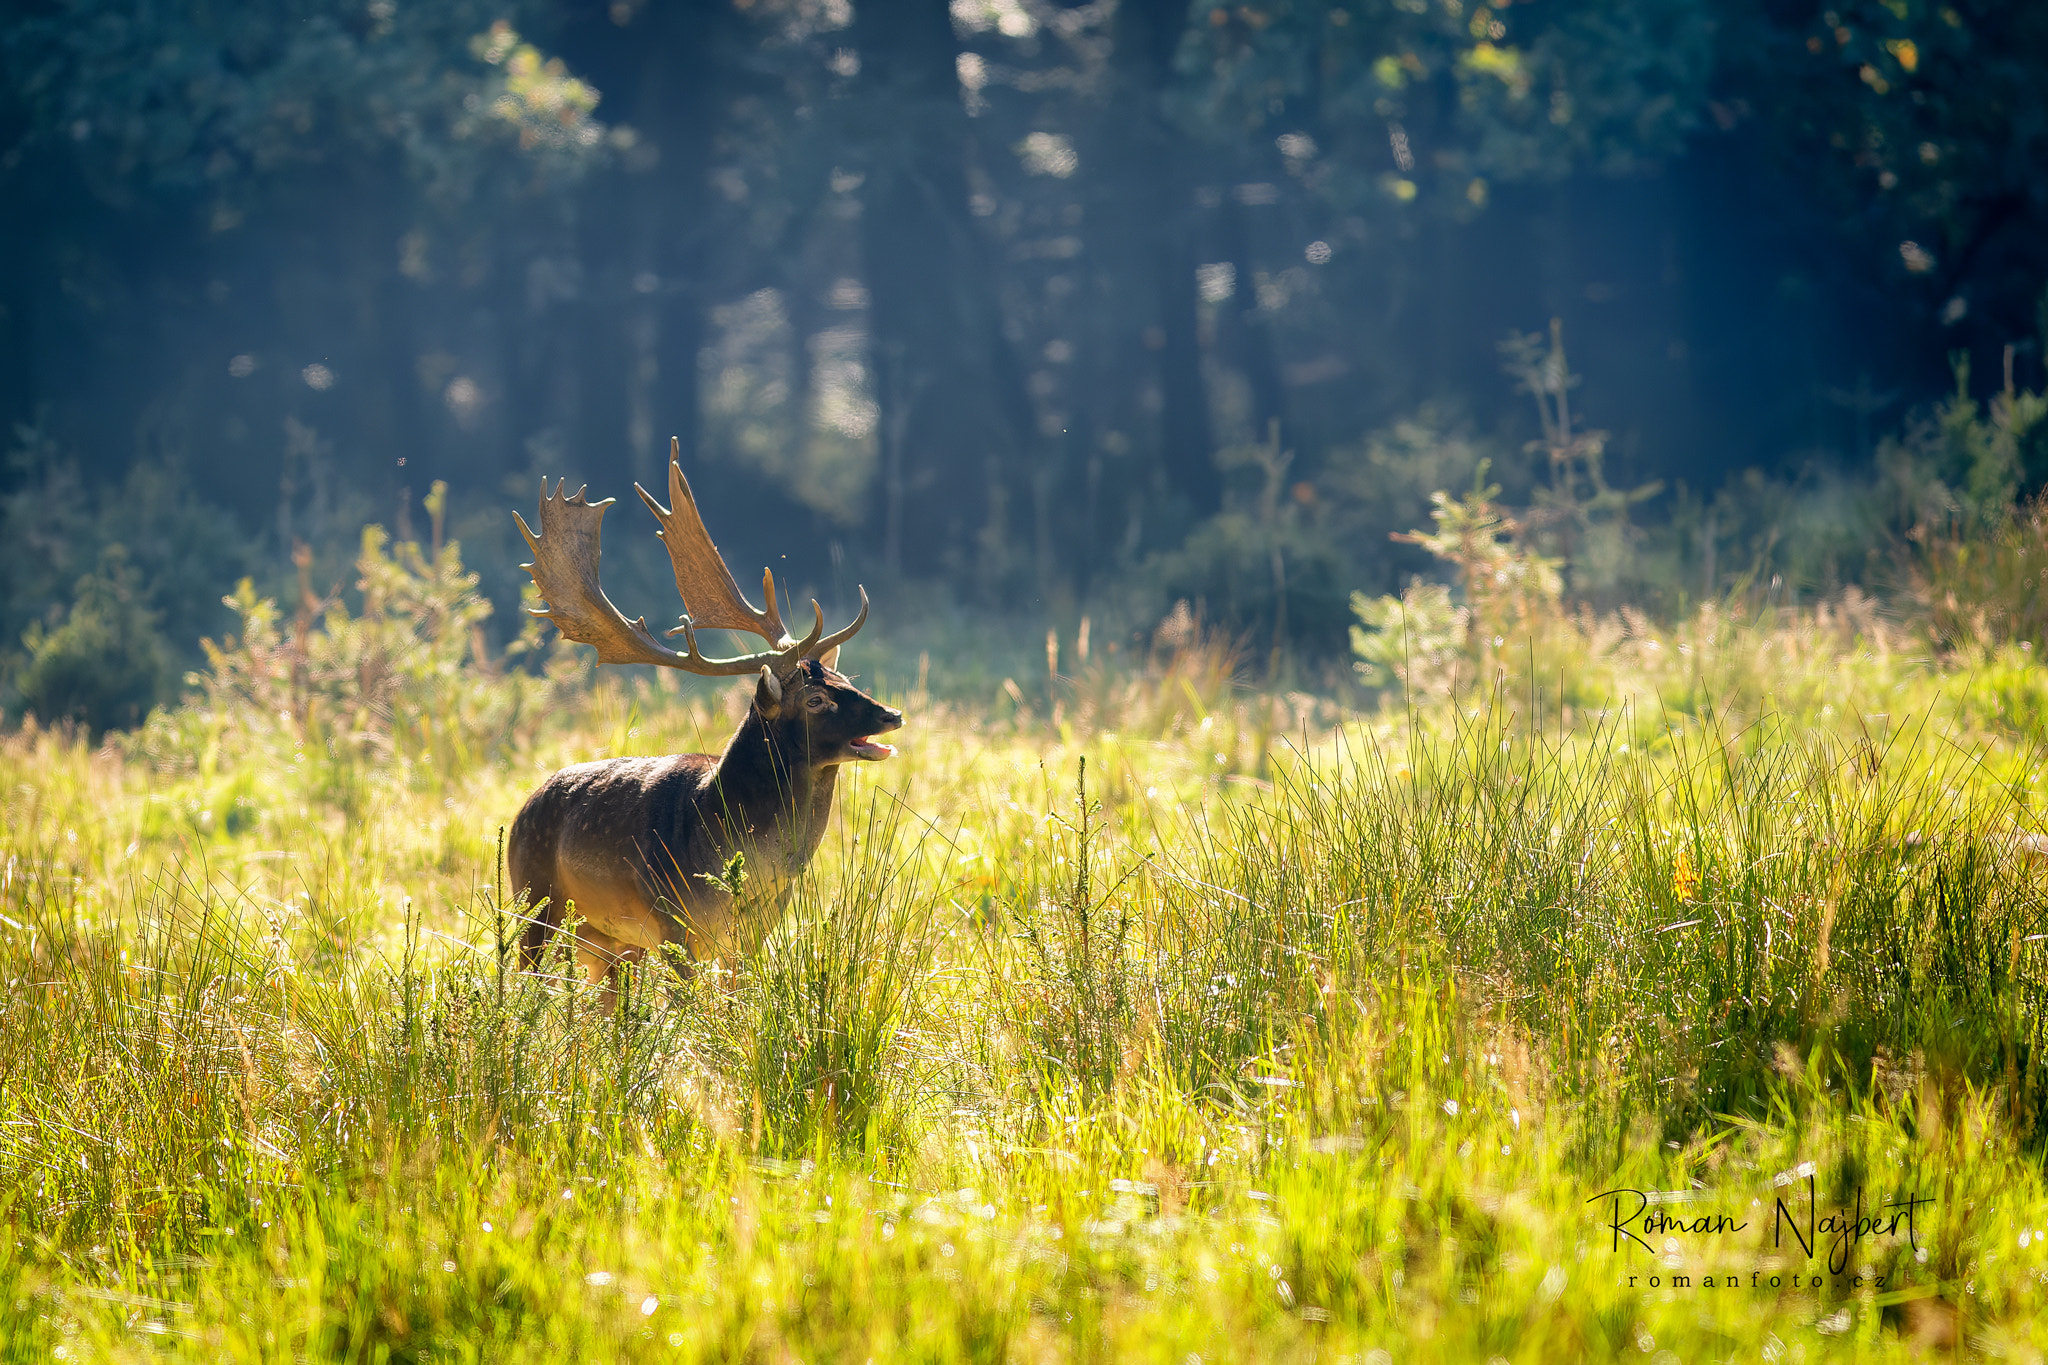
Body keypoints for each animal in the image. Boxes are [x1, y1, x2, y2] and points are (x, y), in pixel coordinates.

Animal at [506, 438, 903, 986]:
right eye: (816, 699)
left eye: (847, 681)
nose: (891, 716)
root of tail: (521, 808)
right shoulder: (674, 922)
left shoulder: (755, 932)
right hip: (536, 903)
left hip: (610, 942)